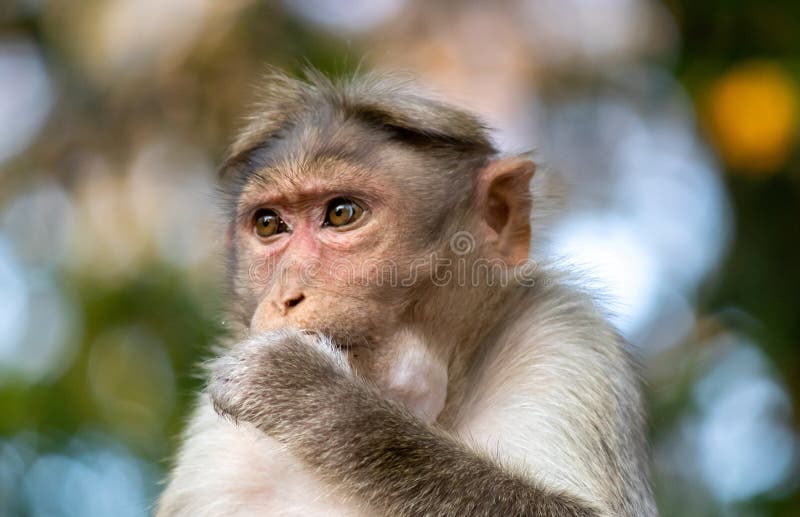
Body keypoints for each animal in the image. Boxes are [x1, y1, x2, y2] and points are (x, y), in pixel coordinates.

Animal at [156, 69, 657, 517]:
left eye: (341, 213)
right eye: (268, 224)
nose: (287, 298)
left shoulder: (564, 335)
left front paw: (314, 395)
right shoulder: (212, 454)